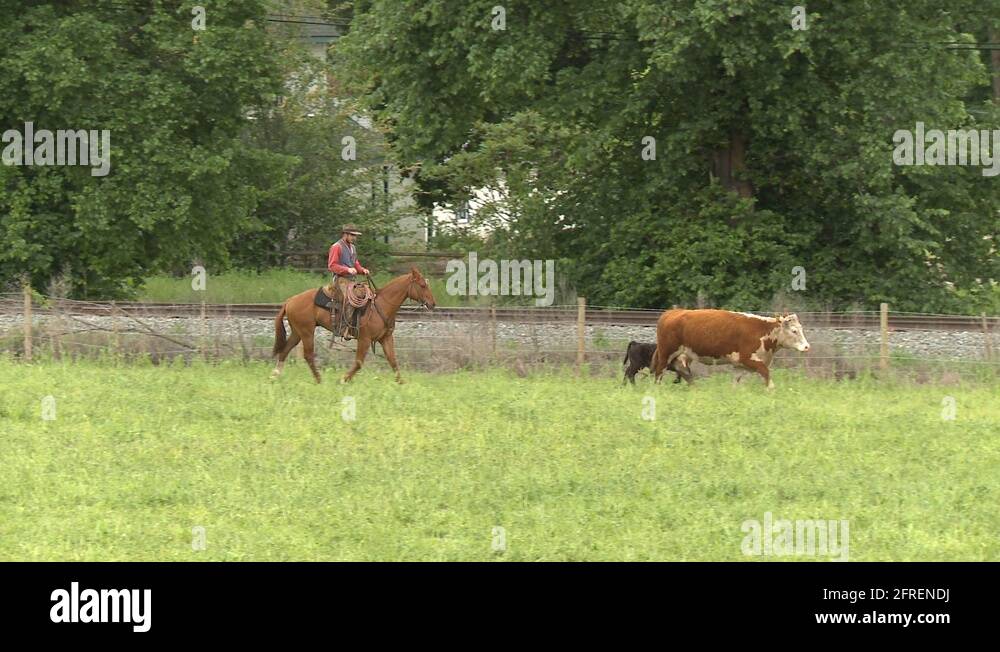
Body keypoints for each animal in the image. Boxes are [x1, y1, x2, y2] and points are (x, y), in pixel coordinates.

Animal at [650, 309, 810, 389]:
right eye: (794, 330)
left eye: (801, 328)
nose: (807, 347)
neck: (762, 332)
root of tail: (671, 312)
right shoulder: (748, 358)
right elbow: (766, 372)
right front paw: (771, 390)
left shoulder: (739, 365)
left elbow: (735, 382)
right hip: (666, 353)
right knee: (659, 372)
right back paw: (658, 388)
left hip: (684, 354)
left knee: (683, 370)